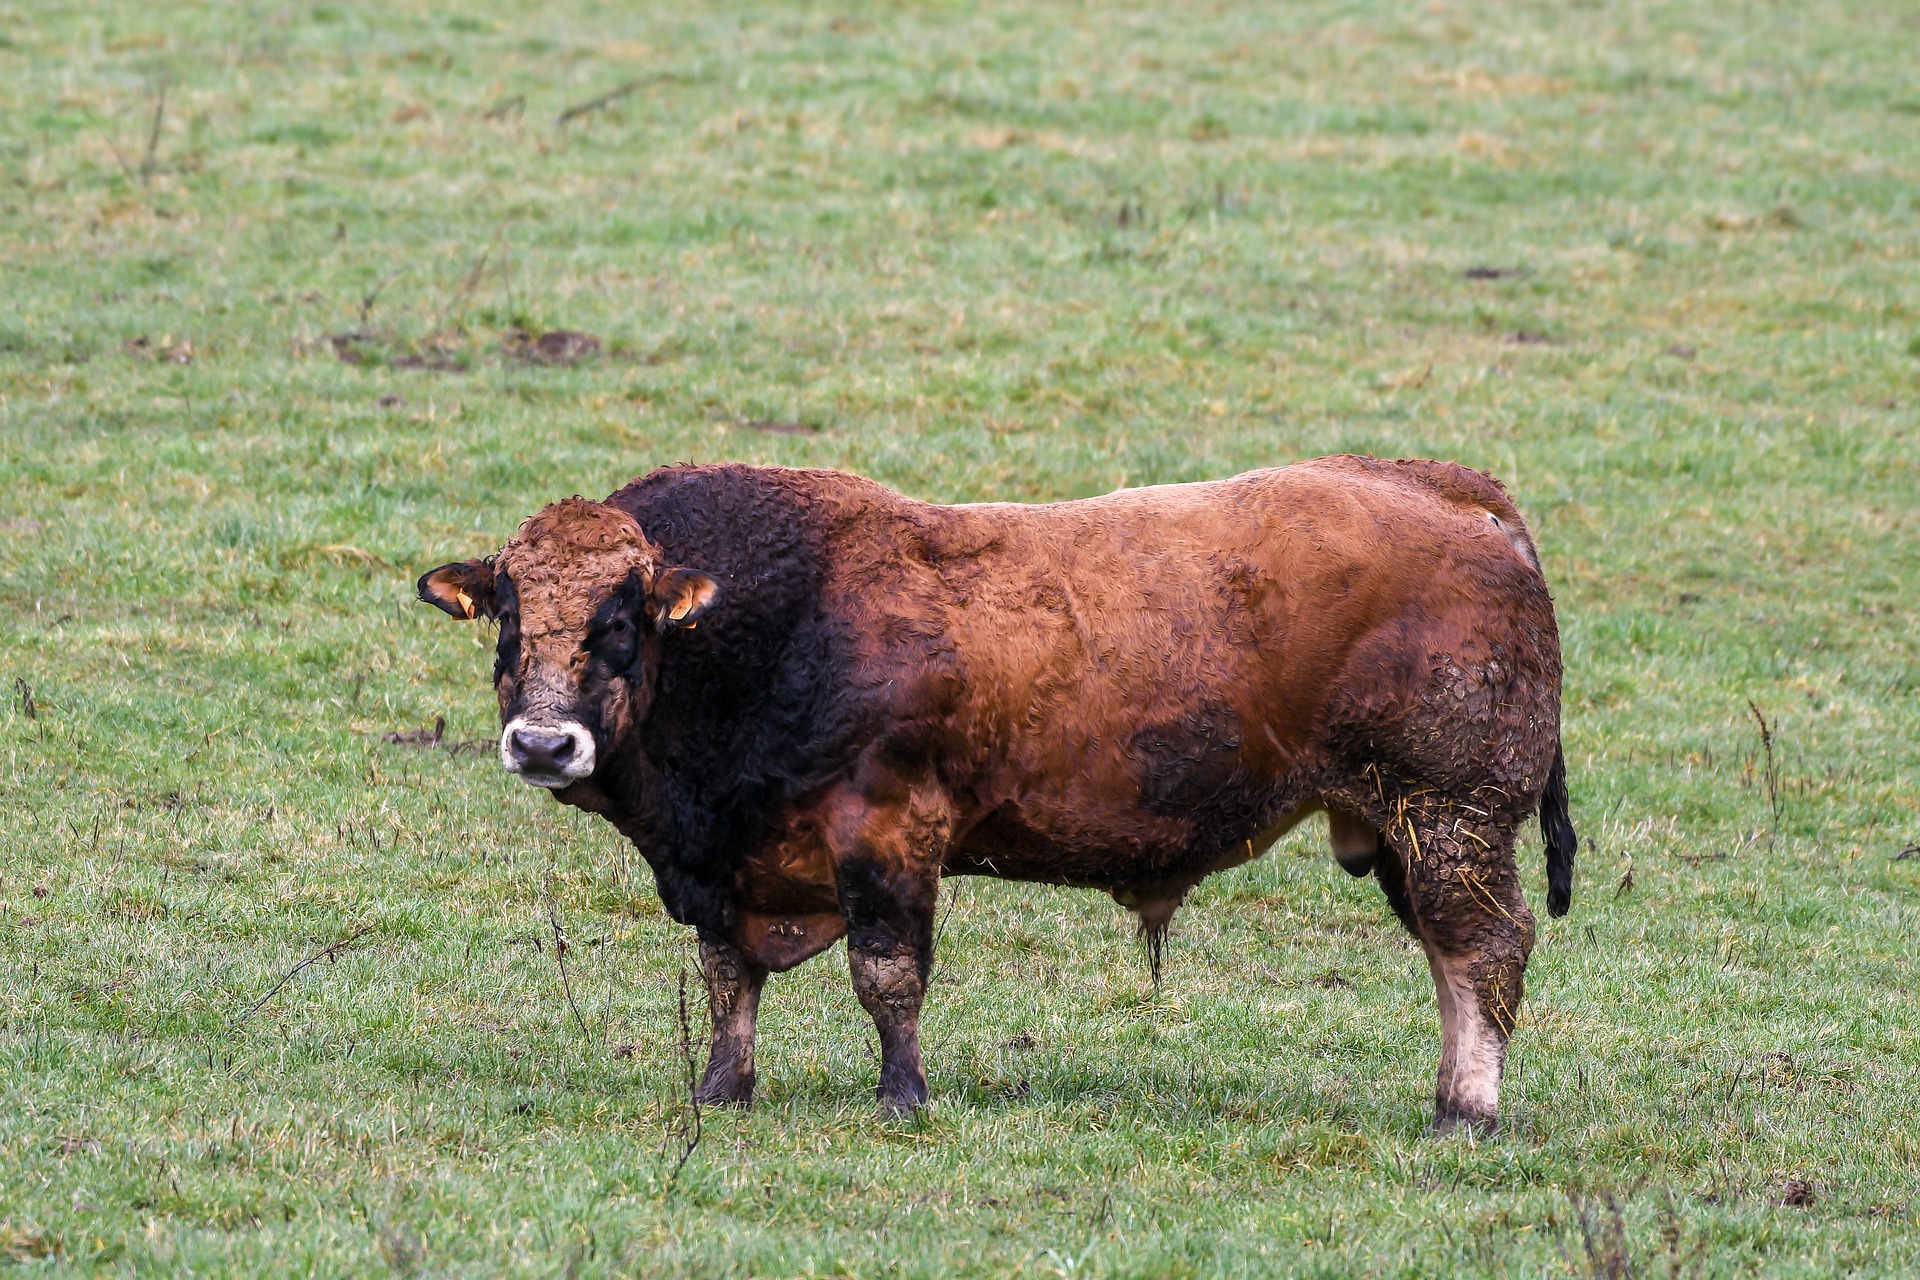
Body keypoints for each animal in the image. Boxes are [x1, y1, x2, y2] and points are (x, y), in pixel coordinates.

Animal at [418, 455, 1577, 1133]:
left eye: (620, 620)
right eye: (508, 616)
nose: (542, 740)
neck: (774, 626)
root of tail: (1444, 488)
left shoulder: (889, 833)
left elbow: (887, 976)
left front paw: (902, 1095)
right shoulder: (728, 865)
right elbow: (727, 979)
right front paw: (722, 1088)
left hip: (1452, 815)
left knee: (1484, 950)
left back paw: (1469, 1110)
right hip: (1403, 828)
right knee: (1452, 961)